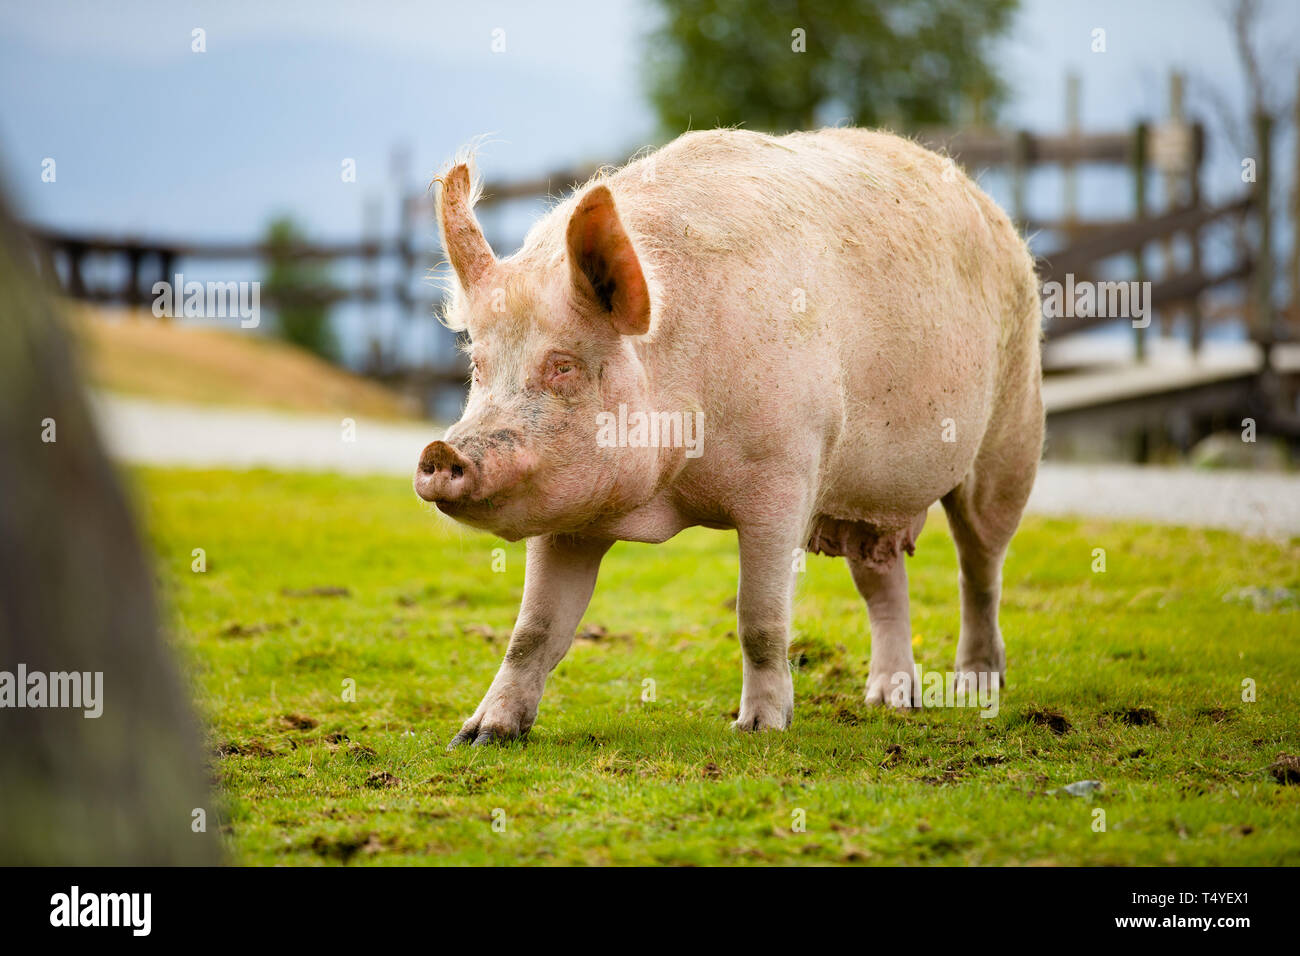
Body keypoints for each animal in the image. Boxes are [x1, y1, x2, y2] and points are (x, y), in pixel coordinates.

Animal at [416, 127, 1043, 747]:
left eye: (563, 366)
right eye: (477, 366)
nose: (440, 452)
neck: (671, 493)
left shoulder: (786, 475)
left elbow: (759, 617)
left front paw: (758, 728)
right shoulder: (569, 513)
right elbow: (534, 628)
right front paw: (478, 736)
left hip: (1011, 438)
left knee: (981, 565)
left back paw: (975, 691)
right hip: (862, 495)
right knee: (884, 579)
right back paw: (890, 702)